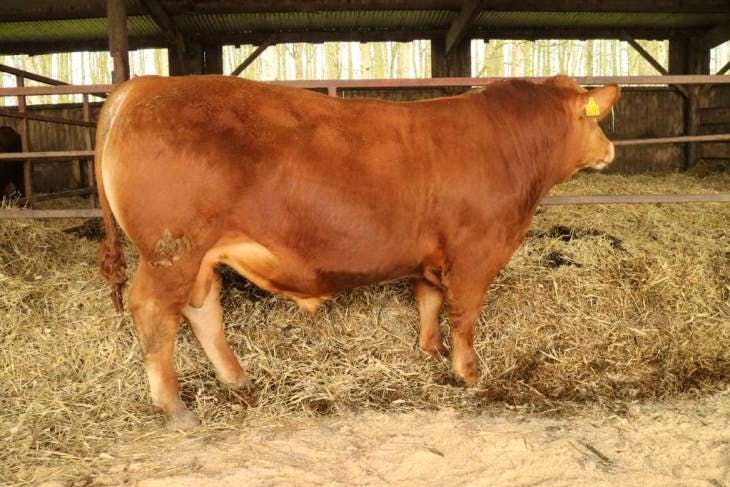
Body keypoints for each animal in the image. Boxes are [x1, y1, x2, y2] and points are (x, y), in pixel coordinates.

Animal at [95, 74, 620, 429]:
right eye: (595, 122)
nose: (611, 149)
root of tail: (144, 85)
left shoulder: (429, 255)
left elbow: (428, 300)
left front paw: (428, 351)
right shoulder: (476, 251)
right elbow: (465, 313)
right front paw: (467, 372)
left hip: (200, 257)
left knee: (202, 309)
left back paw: (237, 378)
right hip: (171, 251)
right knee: (154, 313)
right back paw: (174, 406)